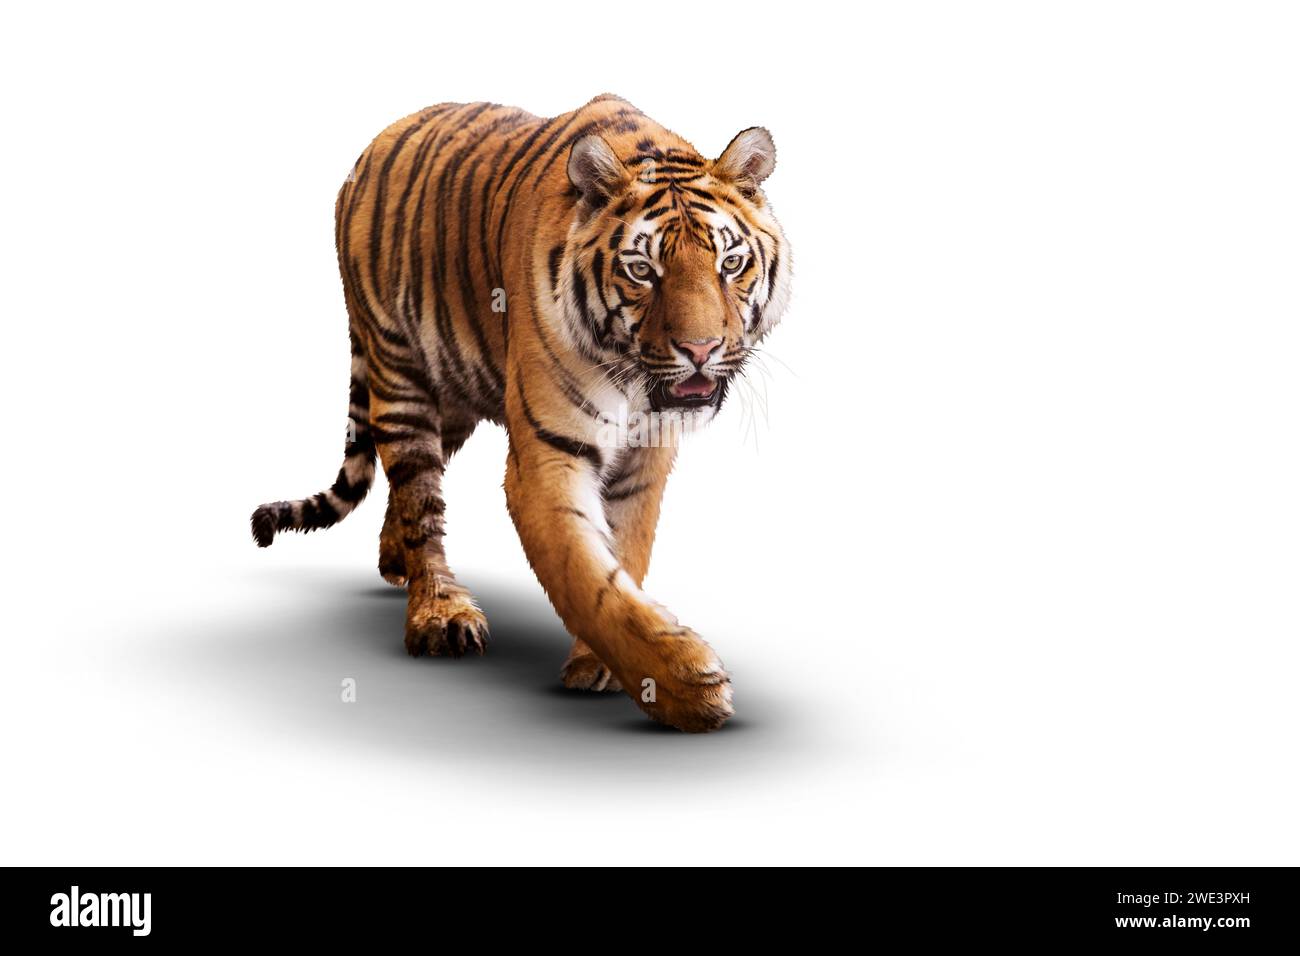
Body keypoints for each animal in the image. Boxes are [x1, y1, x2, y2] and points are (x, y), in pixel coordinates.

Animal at [251, 94, 792, 732]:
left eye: (730, 263)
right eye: (642, 270)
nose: (701, 350)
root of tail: (369, 151)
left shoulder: (644, 462)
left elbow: (625, 555)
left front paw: (603, 666)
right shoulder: (548, 457)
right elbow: (584, 576)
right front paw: (683, 685)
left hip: (452, 393)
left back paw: (394, 560)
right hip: (397, 371)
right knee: (418, 501)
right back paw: (439, 614)